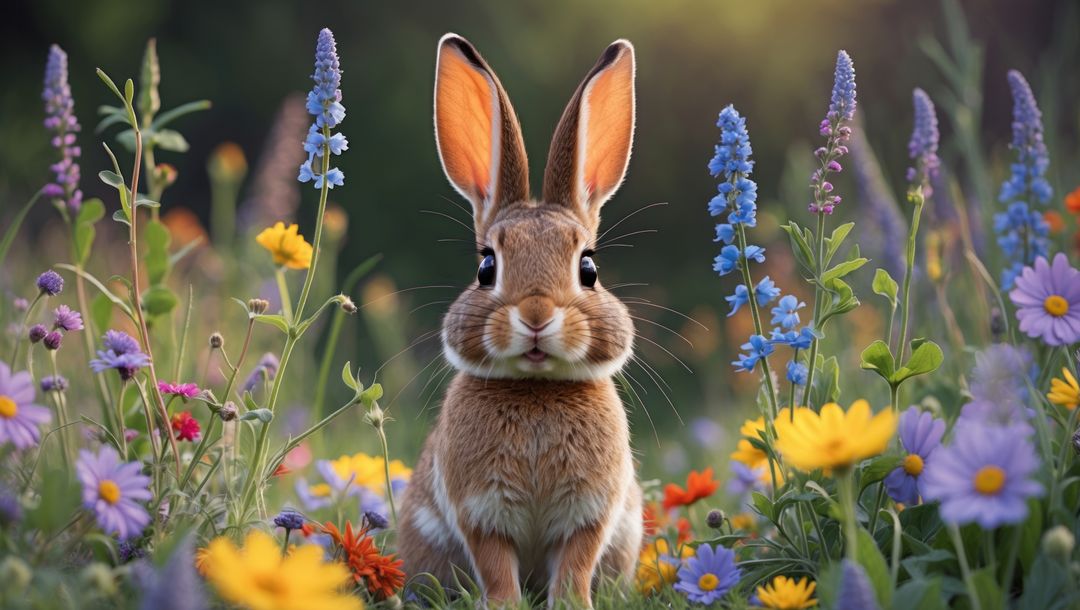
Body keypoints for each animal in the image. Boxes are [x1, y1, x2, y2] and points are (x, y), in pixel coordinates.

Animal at [397, 33, 643, 608]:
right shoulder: (481, 514)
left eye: (589, 268)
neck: (537, 388)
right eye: (486, 267)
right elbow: (496, 568)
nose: (535, 314)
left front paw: (572, 603)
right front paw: (507, 604)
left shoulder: (589, 517)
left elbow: (574, 566)